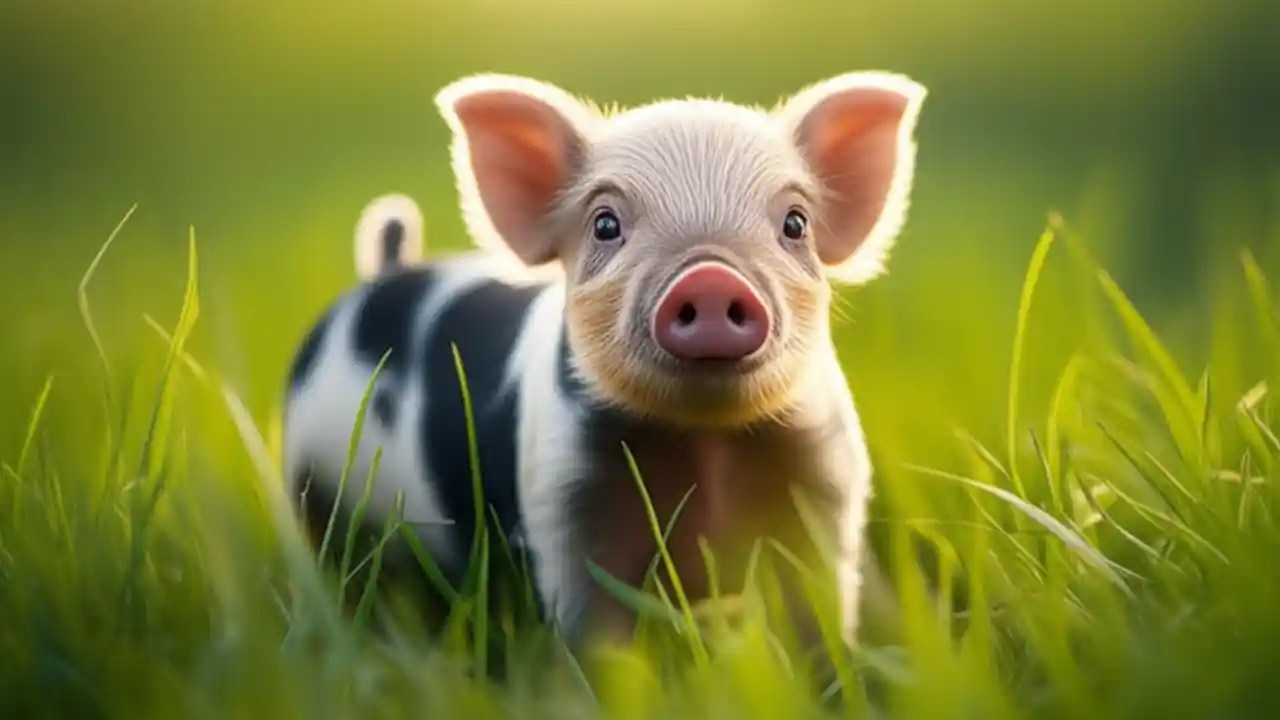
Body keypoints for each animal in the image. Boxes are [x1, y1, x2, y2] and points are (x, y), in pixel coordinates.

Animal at [284, 71, 926, 646]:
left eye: (795, 223)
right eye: (605, 224)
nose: (710, 278)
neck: (705, 442)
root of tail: (388, 268)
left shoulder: (826, 491)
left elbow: (815, 625)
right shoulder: (564, 503)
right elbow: (594, 633)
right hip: (310, 481)